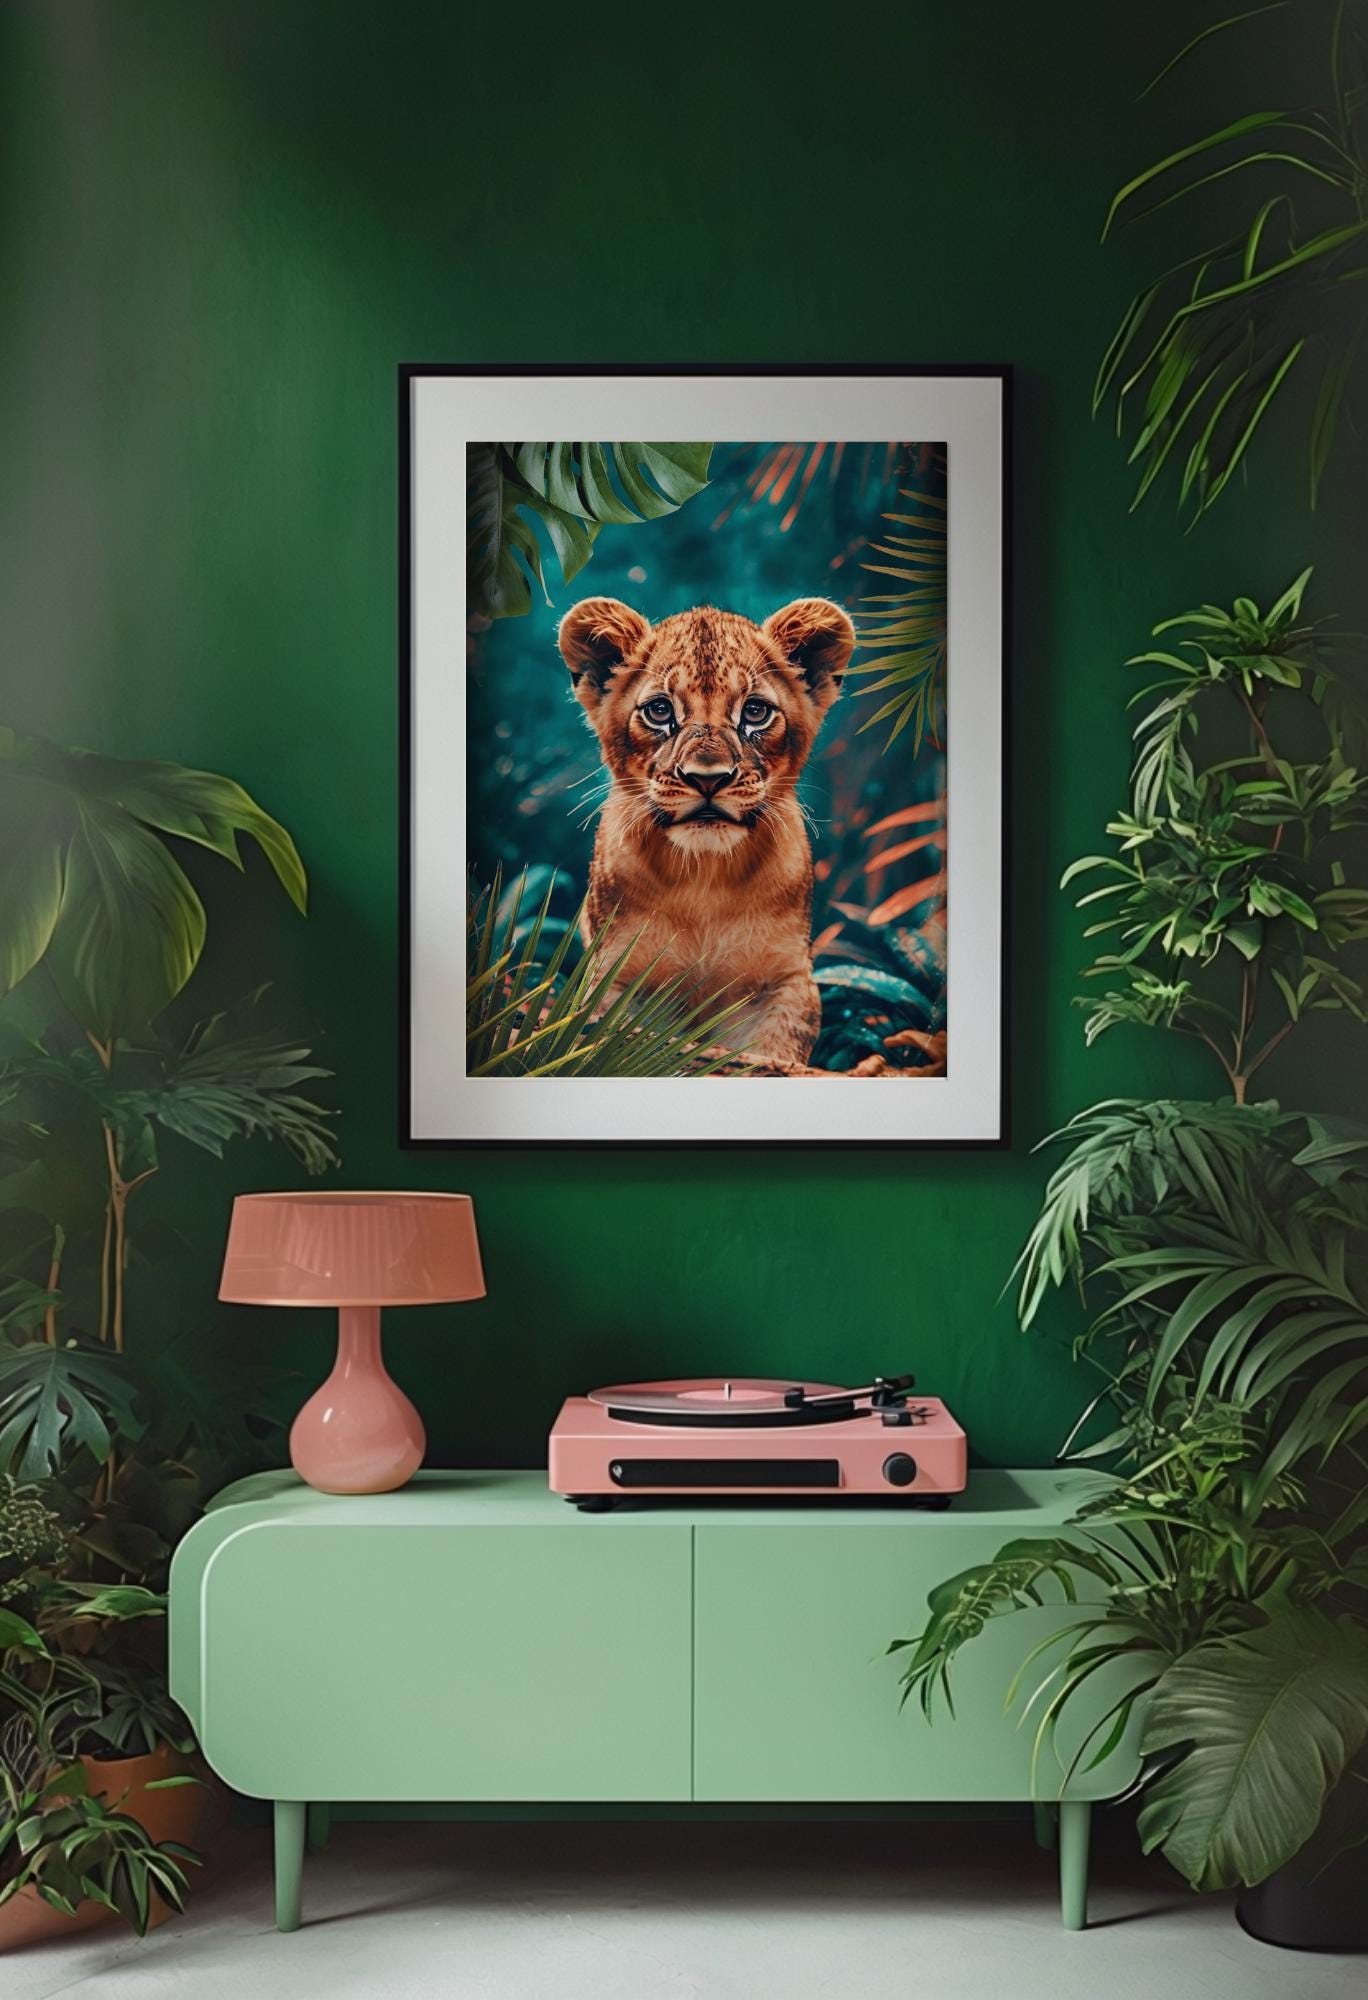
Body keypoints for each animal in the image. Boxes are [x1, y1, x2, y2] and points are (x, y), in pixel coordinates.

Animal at [557, 594, 854, 1072]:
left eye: (755, 711)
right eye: (660, 711)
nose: (707, 778)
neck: (704, 878)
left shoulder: (785, 981)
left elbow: (770, 1054)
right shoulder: (614, 977)